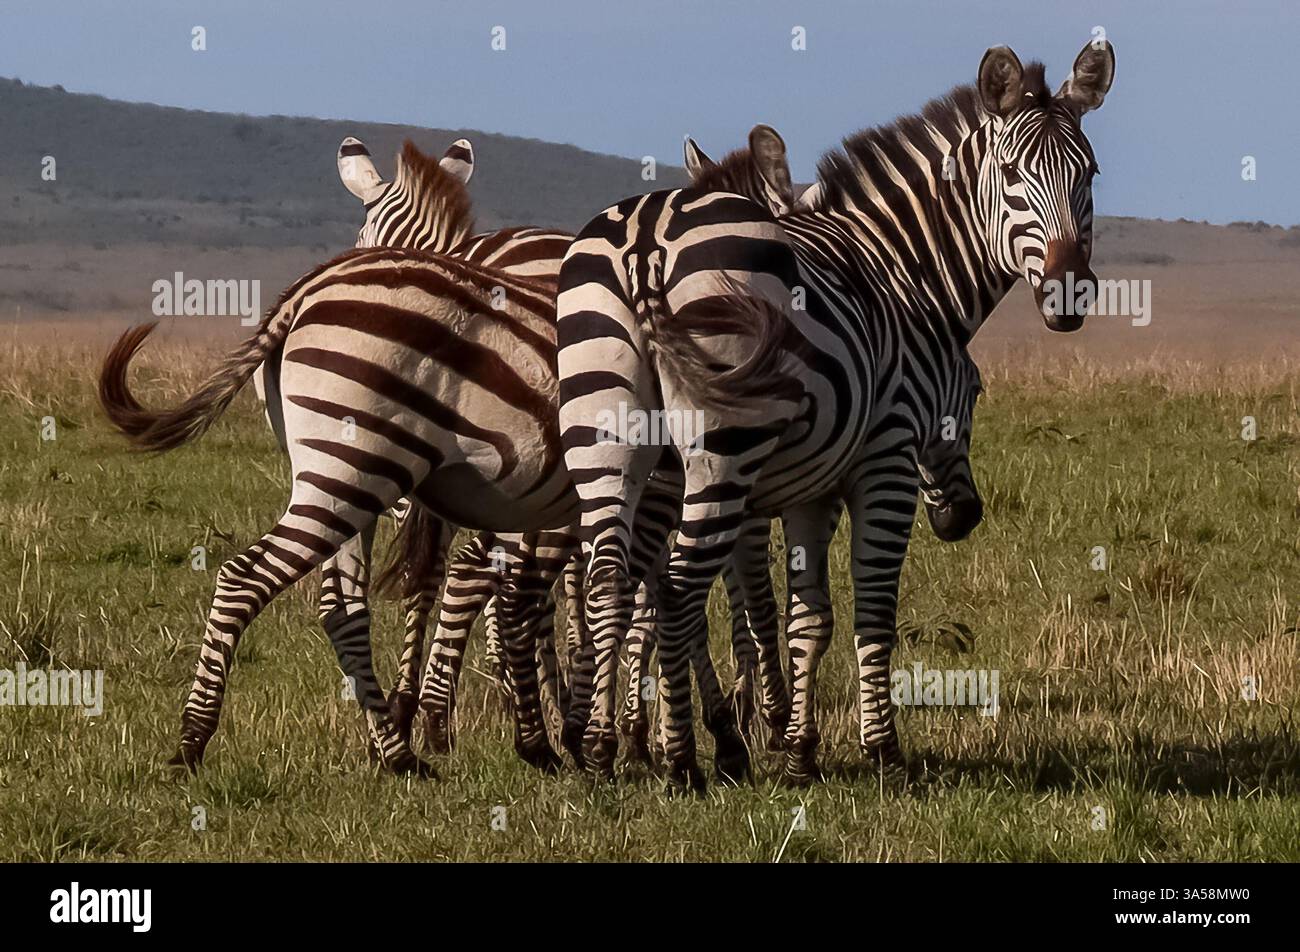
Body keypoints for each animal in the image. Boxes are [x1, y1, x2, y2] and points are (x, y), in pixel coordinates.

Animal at [555, 40, 1114, 789]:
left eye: (1091, 174)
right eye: (1010, 175)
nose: (1067, 296)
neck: (905, 270)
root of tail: (646, 236)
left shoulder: (806, 487)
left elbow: (805, 617)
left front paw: (799, 751)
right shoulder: (886, 463)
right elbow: (869, 611)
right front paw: (881, 753)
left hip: (610, 443)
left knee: (610, 581)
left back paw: (600, 749)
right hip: (723, 450)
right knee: (675, 588)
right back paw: (686, 761)